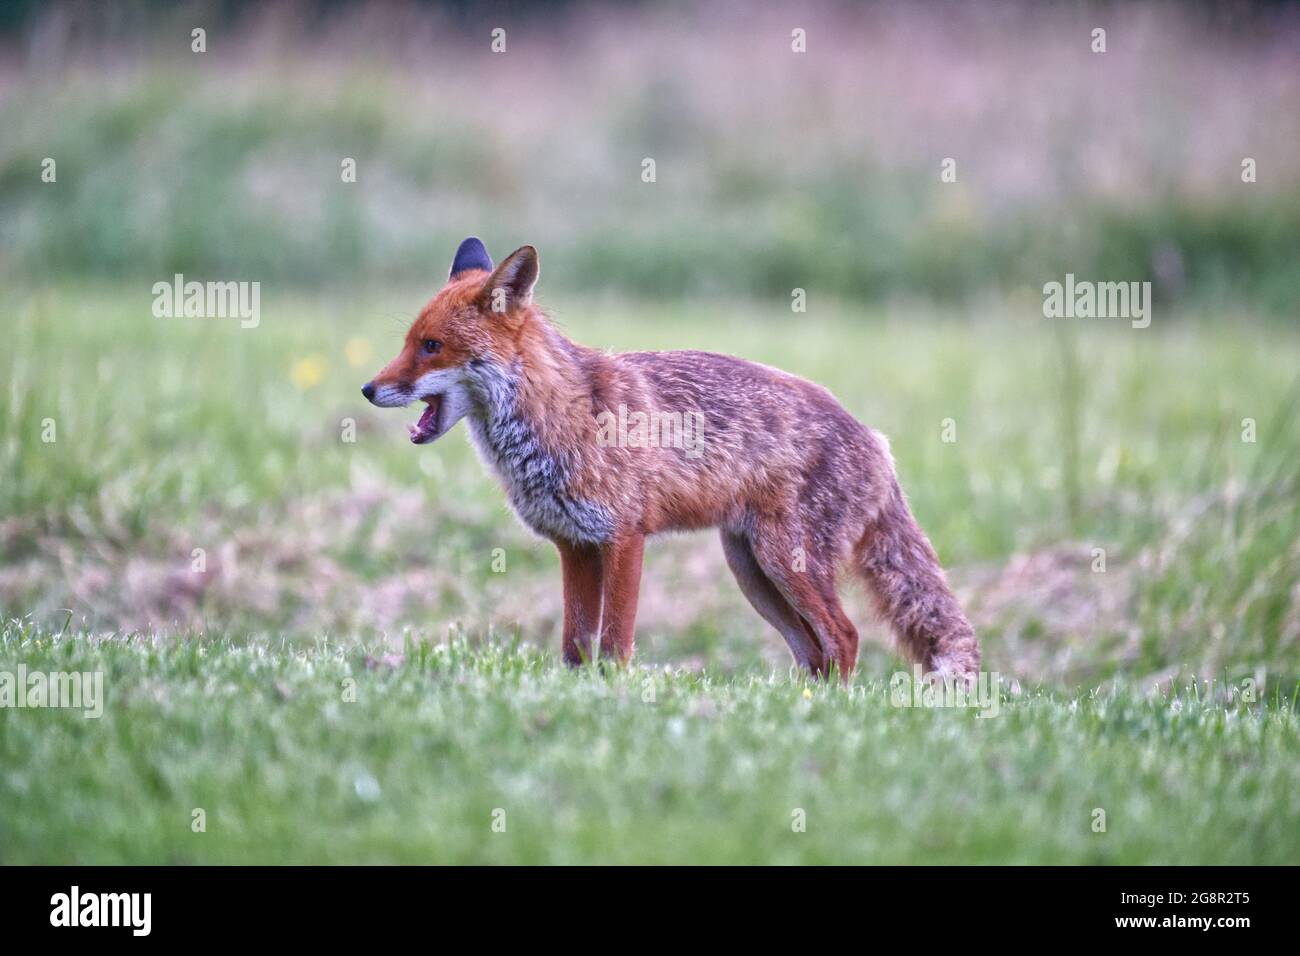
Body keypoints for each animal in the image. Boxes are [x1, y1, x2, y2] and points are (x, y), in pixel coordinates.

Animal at [362, 238, 980, 681]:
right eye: (407, 342)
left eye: (432, 347)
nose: (368, 389)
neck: (560, 419)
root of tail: (876, 440)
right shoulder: (574, 545)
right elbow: (575, 646)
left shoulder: (624, 538)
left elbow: (615, 643)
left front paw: (611, 692)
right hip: (754, 573)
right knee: (816, 651)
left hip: (787, 562)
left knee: (845, 637)